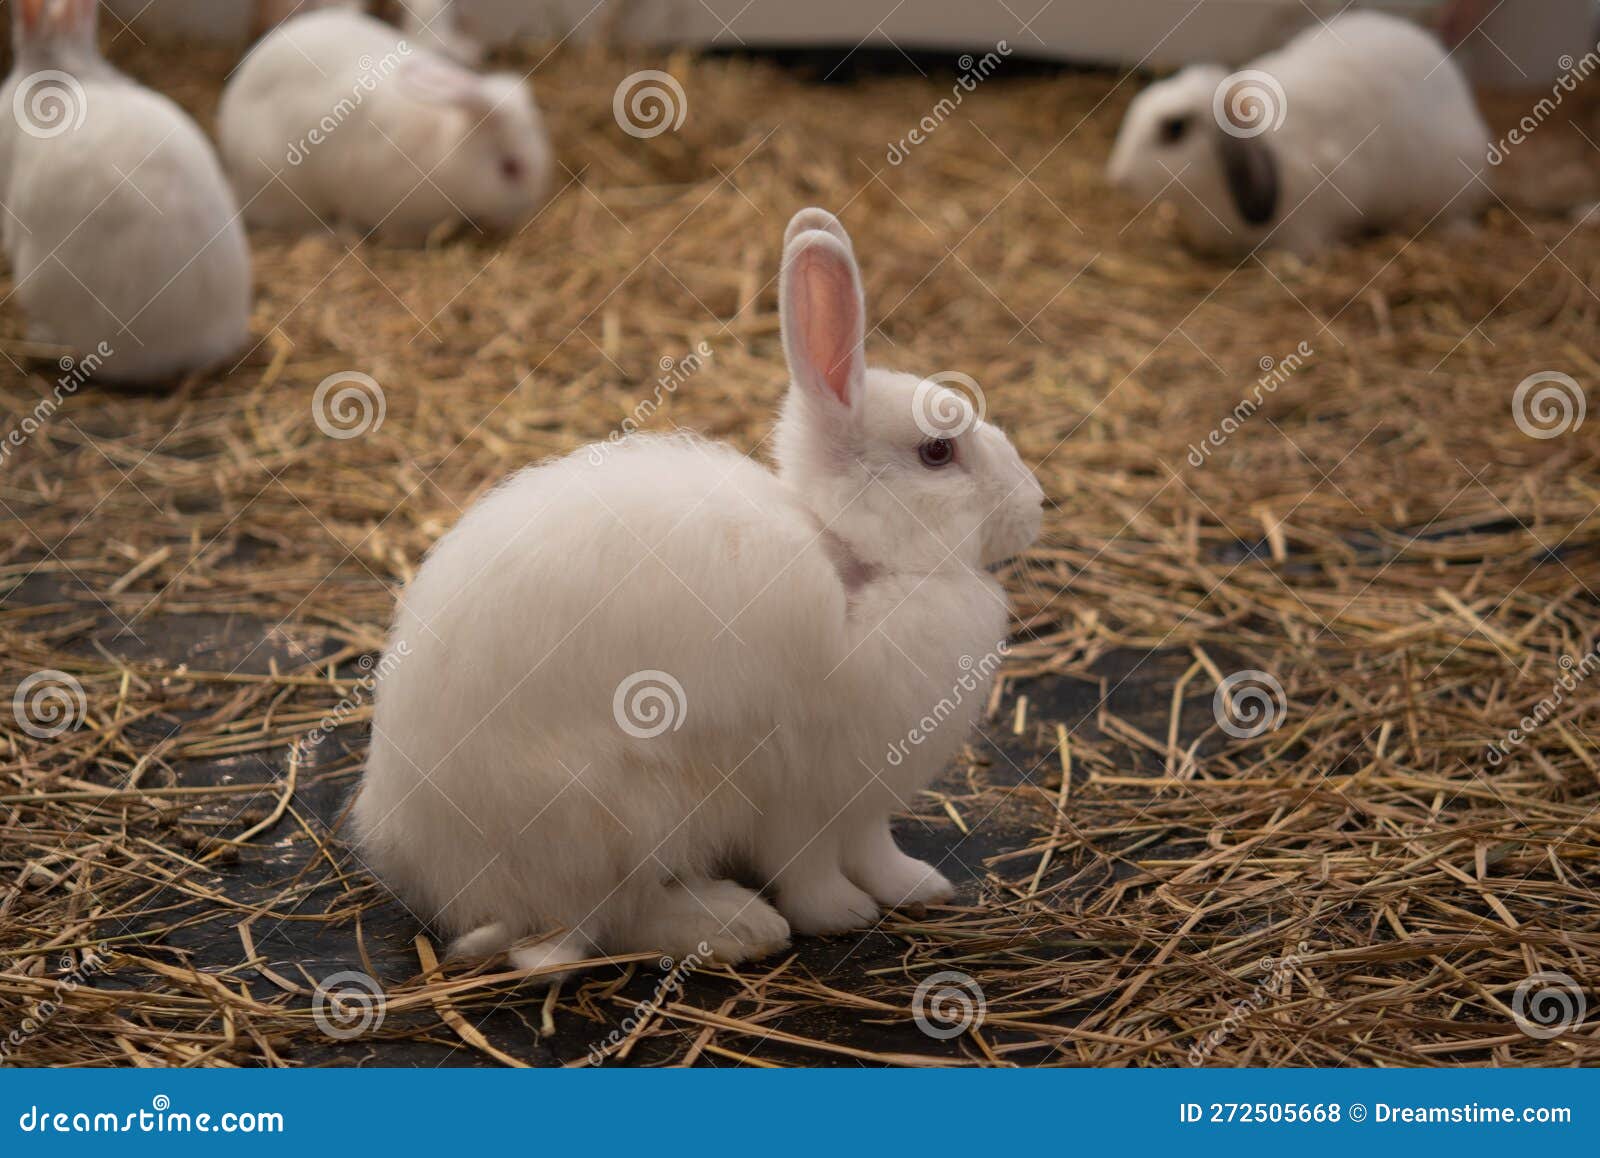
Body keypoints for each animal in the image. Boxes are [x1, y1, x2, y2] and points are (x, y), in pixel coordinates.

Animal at [351, 207, 1044, 978]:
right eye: (937, 452)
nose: (1035, 506)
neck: (858, 564)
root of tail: (427, 867)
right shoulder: (797, 790)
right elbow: (808, 869)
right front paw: (842, 914)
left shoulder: (862, 803)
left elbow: (875, 850)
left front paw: (919, 887)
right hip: (625, 812)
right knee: (614, 918)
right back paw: (737, 924)